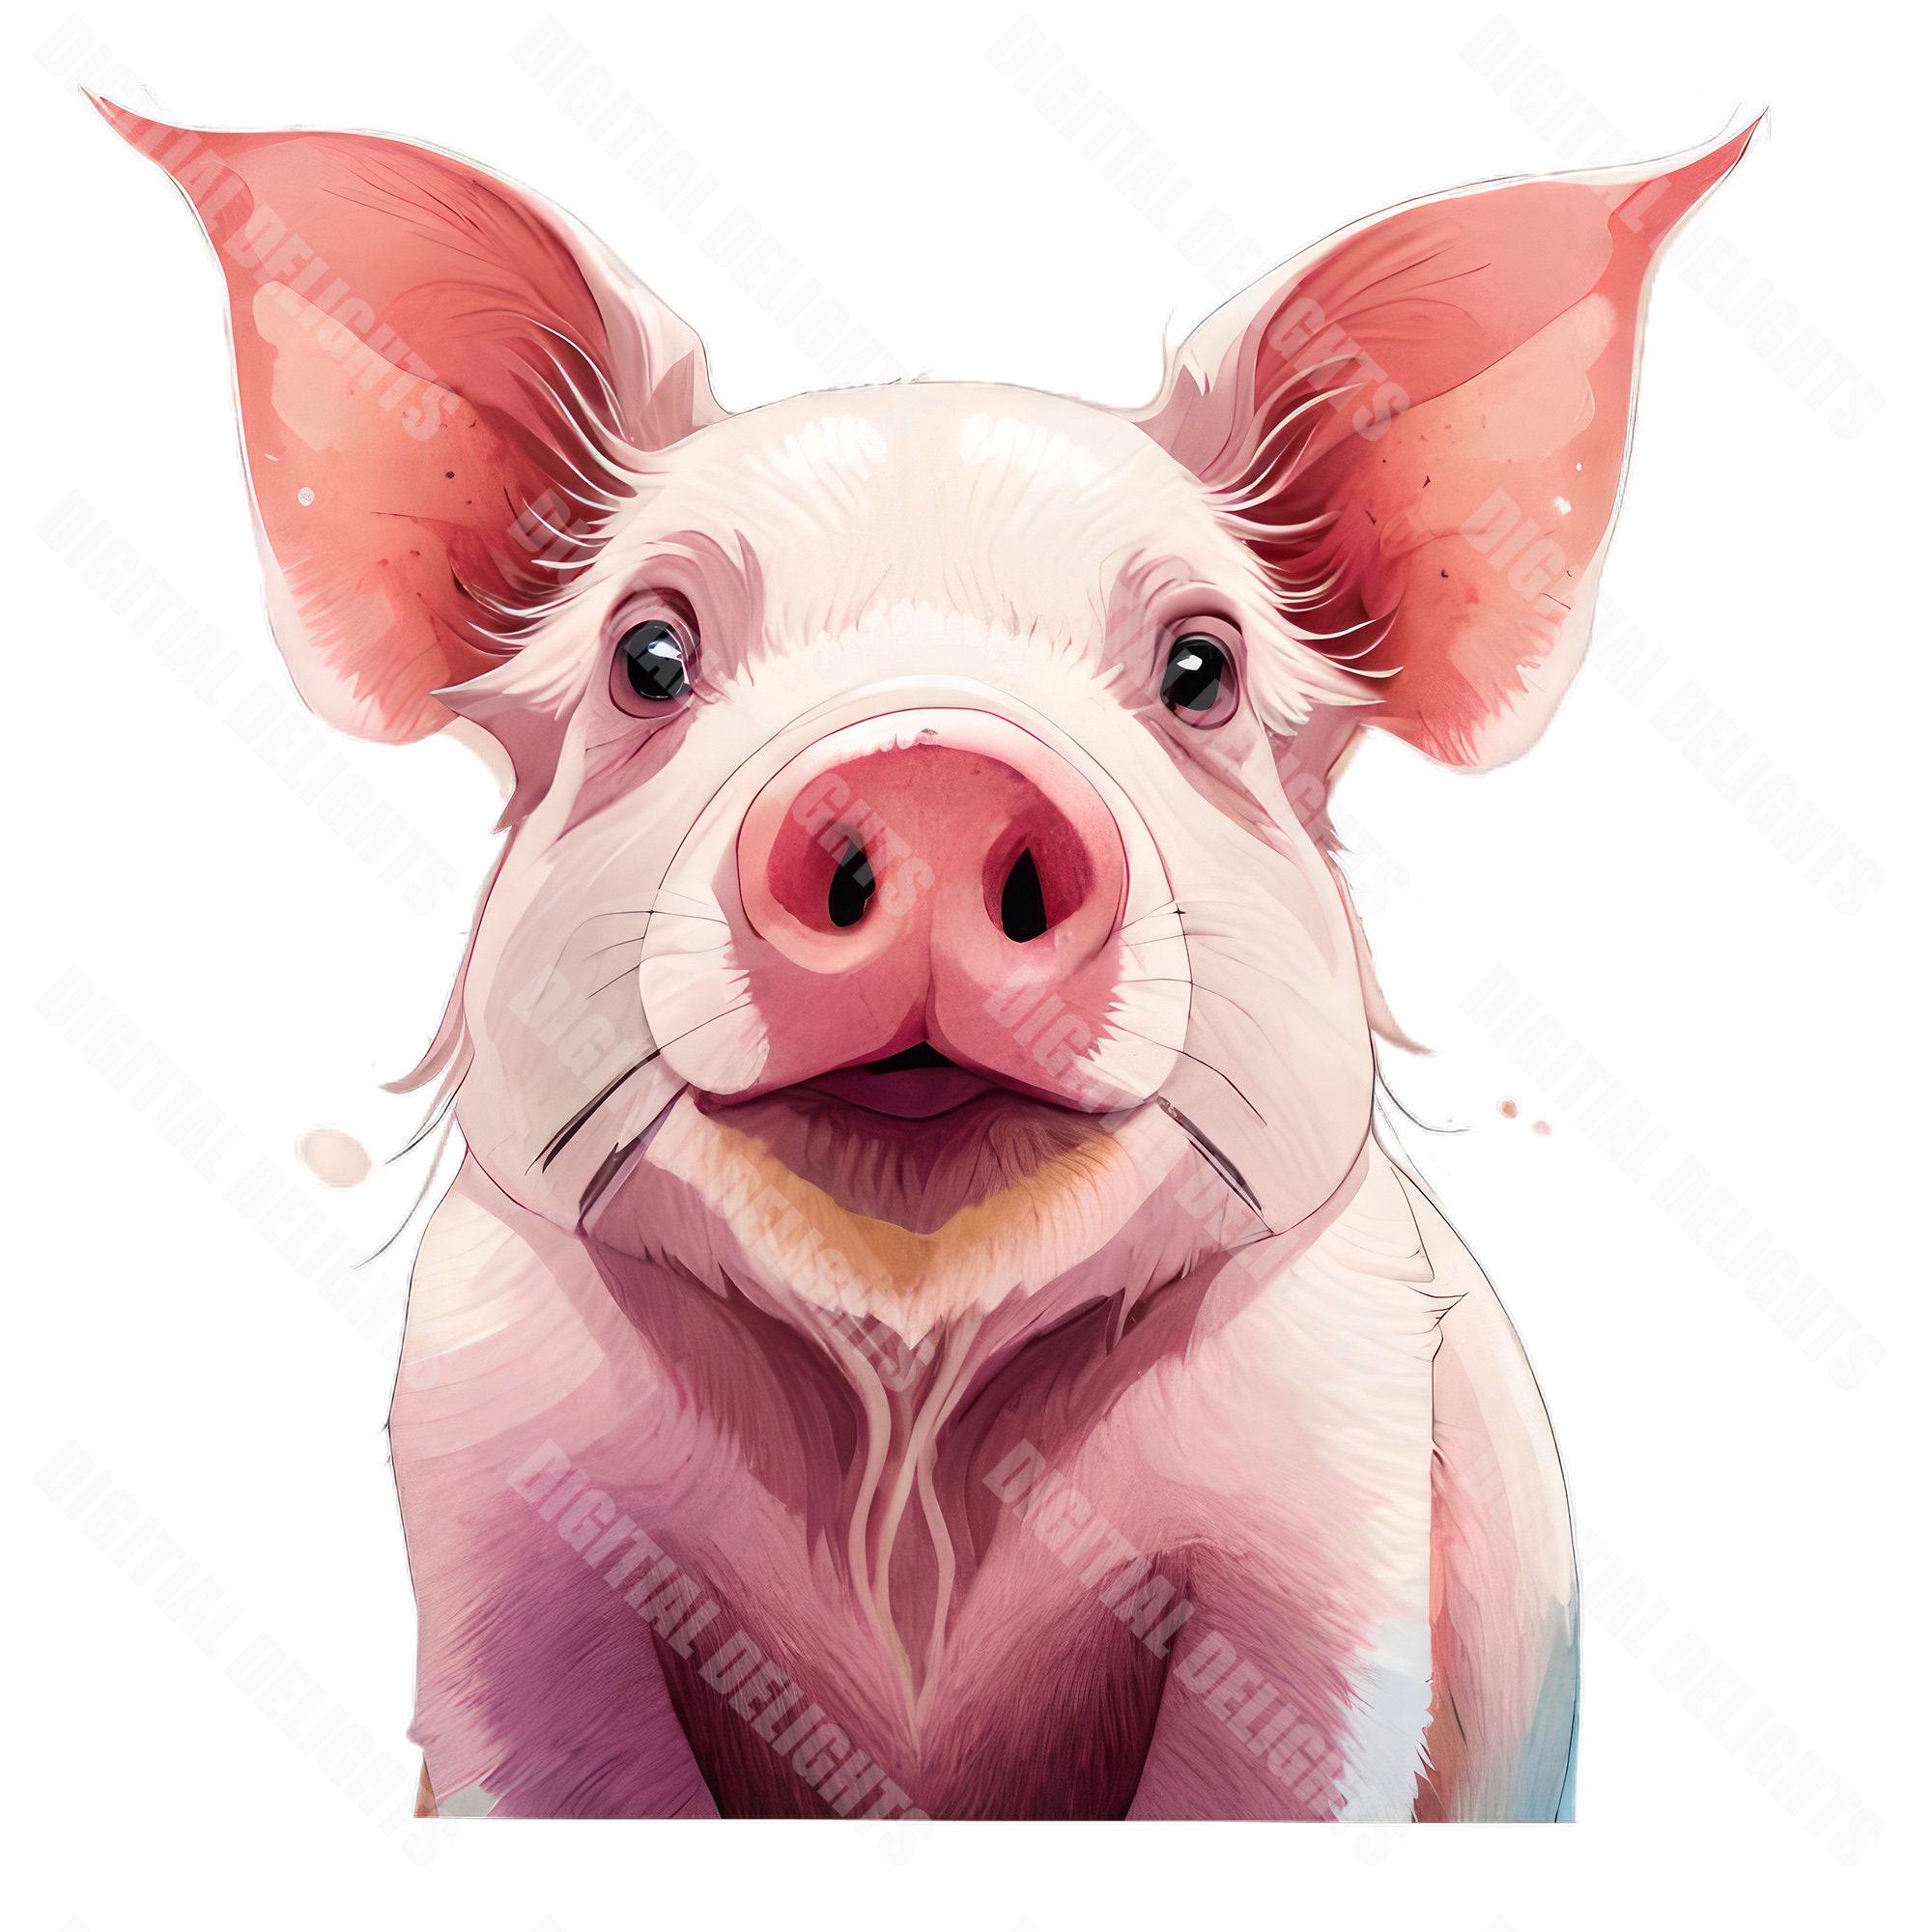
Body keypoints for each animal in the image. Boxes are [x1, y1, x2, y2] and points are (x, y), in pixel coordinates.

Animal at [98, 97, 1756, 1821]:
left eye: (1203, 668)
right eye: (649, 652)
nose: (930, 773)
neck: (906, 1430)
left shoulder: (1331, 1522)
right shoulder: (494, 1503)